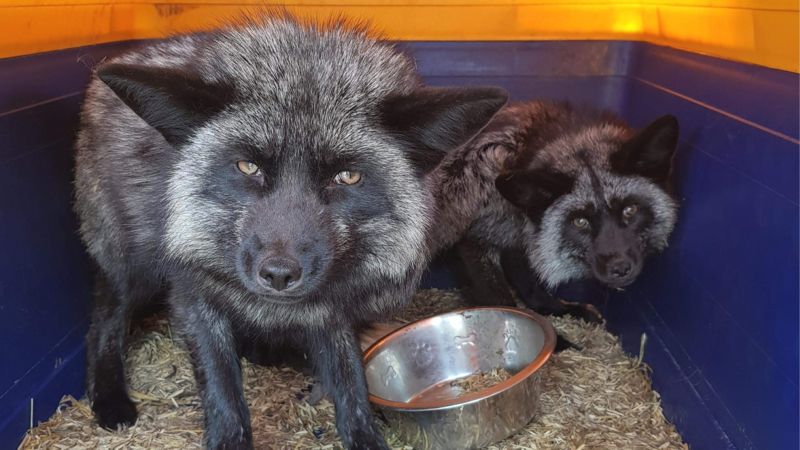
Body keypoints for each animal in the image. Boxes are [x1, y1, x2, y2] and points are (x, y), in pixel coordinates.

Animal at [74, 16, 507, 449]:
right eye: (248, 166)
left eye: (347, 176)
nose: (278, 274)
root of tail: (117, 59)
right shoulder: (193, 295)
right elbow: (222, 389)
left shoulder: (333, 310)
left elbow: (351, 381)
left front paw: (364, 432)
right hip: (132, 267)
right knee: (102, 320)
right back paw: (111, 400)